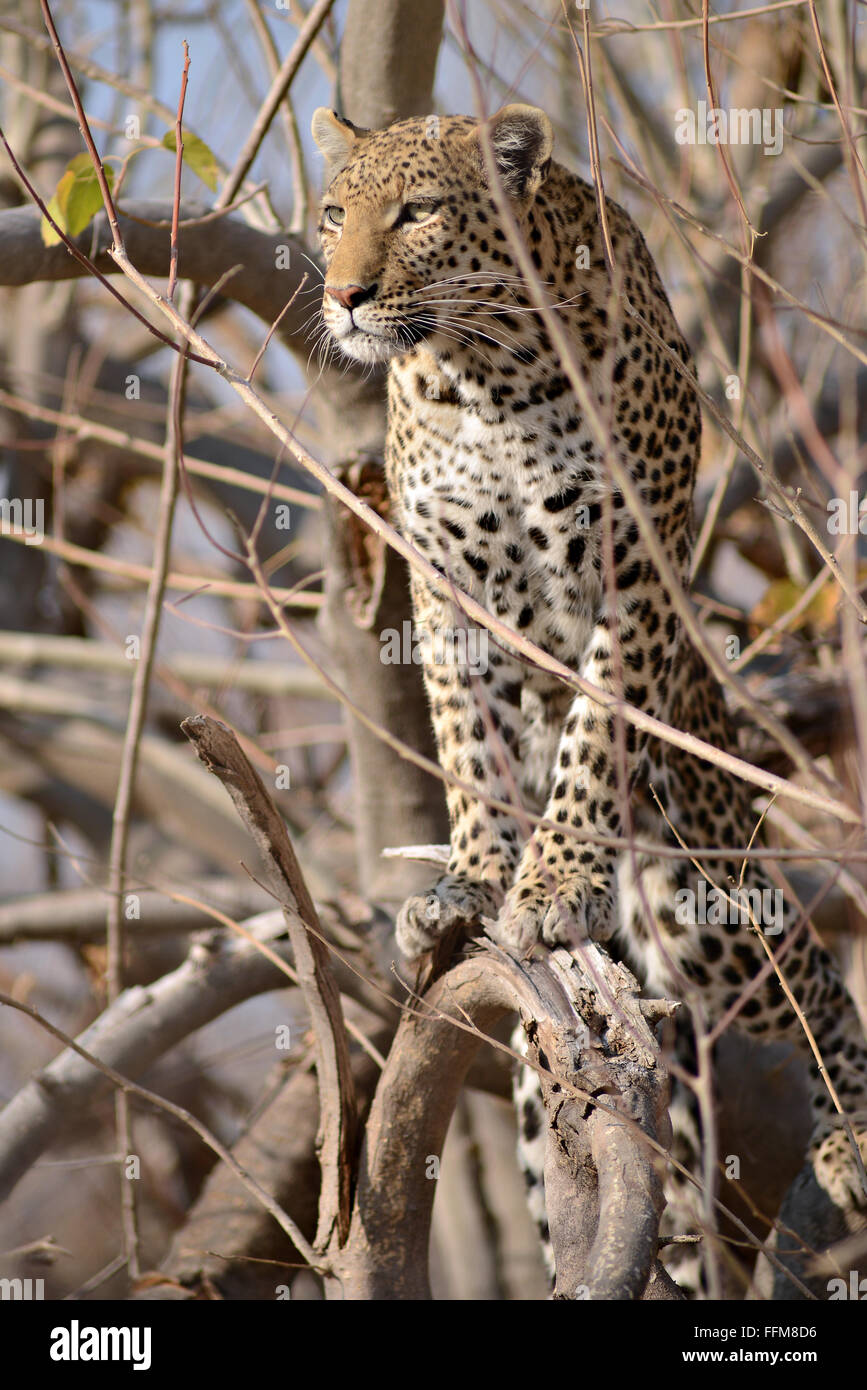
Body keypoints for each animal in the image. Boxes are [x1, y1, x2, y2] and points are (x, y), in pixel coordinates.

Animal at [312, 102, 867, 1296]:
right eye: (332, 213)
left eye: (415, 212)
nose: (343, 294)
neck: (477, 377)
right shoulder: (443, 586)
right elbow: (468, 748)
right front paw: (470, 883)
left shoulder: (633, 569)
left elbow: (592, 736)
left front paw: (555, 880)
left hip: (708, 901)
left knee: (812, 977)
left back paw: (849, 1131)